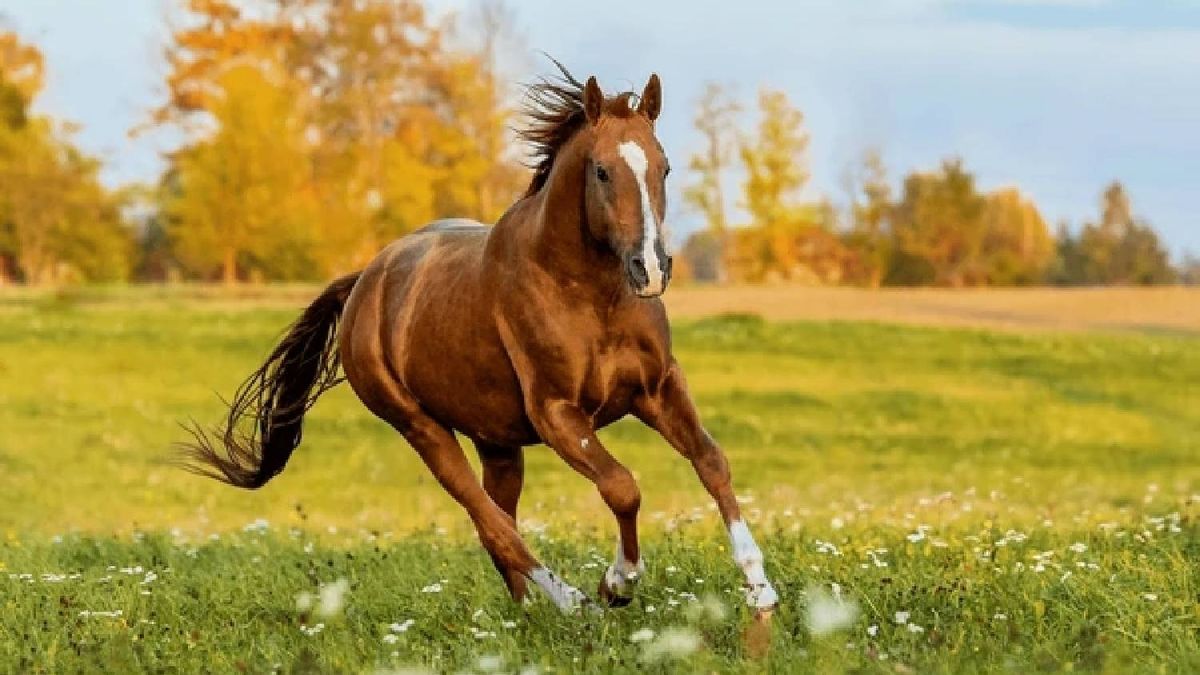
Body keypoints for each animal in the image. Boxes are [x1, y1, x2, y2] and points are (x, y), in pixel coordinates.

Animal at [180, 62, 779, 617]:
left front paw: (760, 589)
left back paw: (529, 612)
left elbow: (711, 460)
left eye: (664, 167)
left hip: (497, 442)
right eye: (603, 171)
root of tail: (364, 282)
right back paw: (574, 605)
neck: (590, 296)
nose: (650, 269)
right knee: (492, 524)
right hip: (422, 429)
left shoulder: (656, 389)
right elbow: (621, 486)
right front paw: (617, 584)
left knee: (499, 521)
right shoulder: (558, 414)